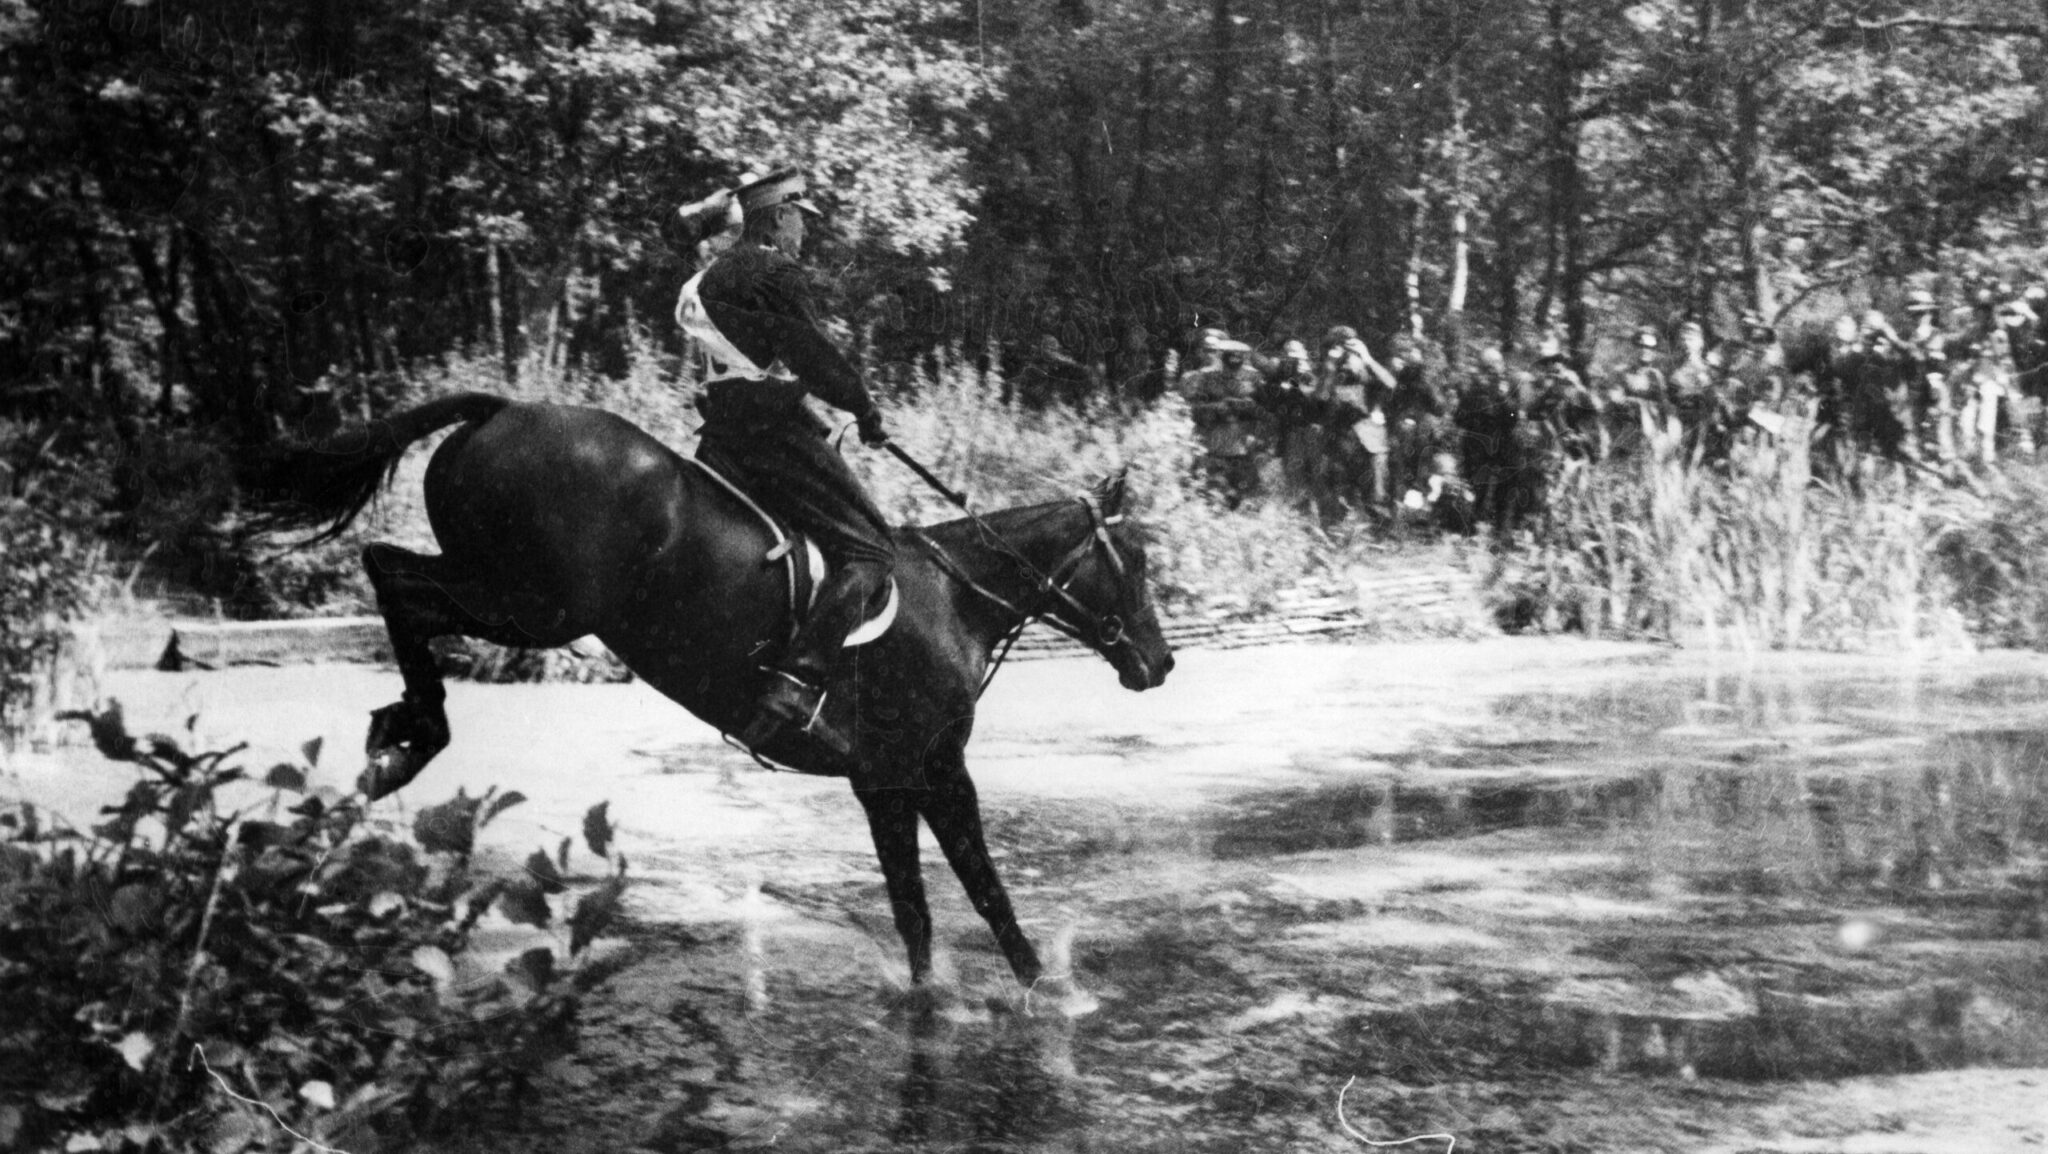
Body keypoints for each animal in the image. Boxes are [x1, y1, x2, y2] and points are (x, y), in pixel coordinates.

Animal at [250, 391, 1175, 996]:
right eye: (1136, 562)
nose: (1159, 664)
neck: (957, 599)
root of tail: (505, 409)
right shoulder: (924, 772)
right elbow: (977, 894)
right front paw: (1043, 996)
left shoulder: (896, 781)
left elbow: (925, 908)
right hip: (533, 602)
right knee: (395, 580)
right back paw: (414, 732)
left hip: (504, 588)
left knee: (390, 570)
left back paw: (397, 739)